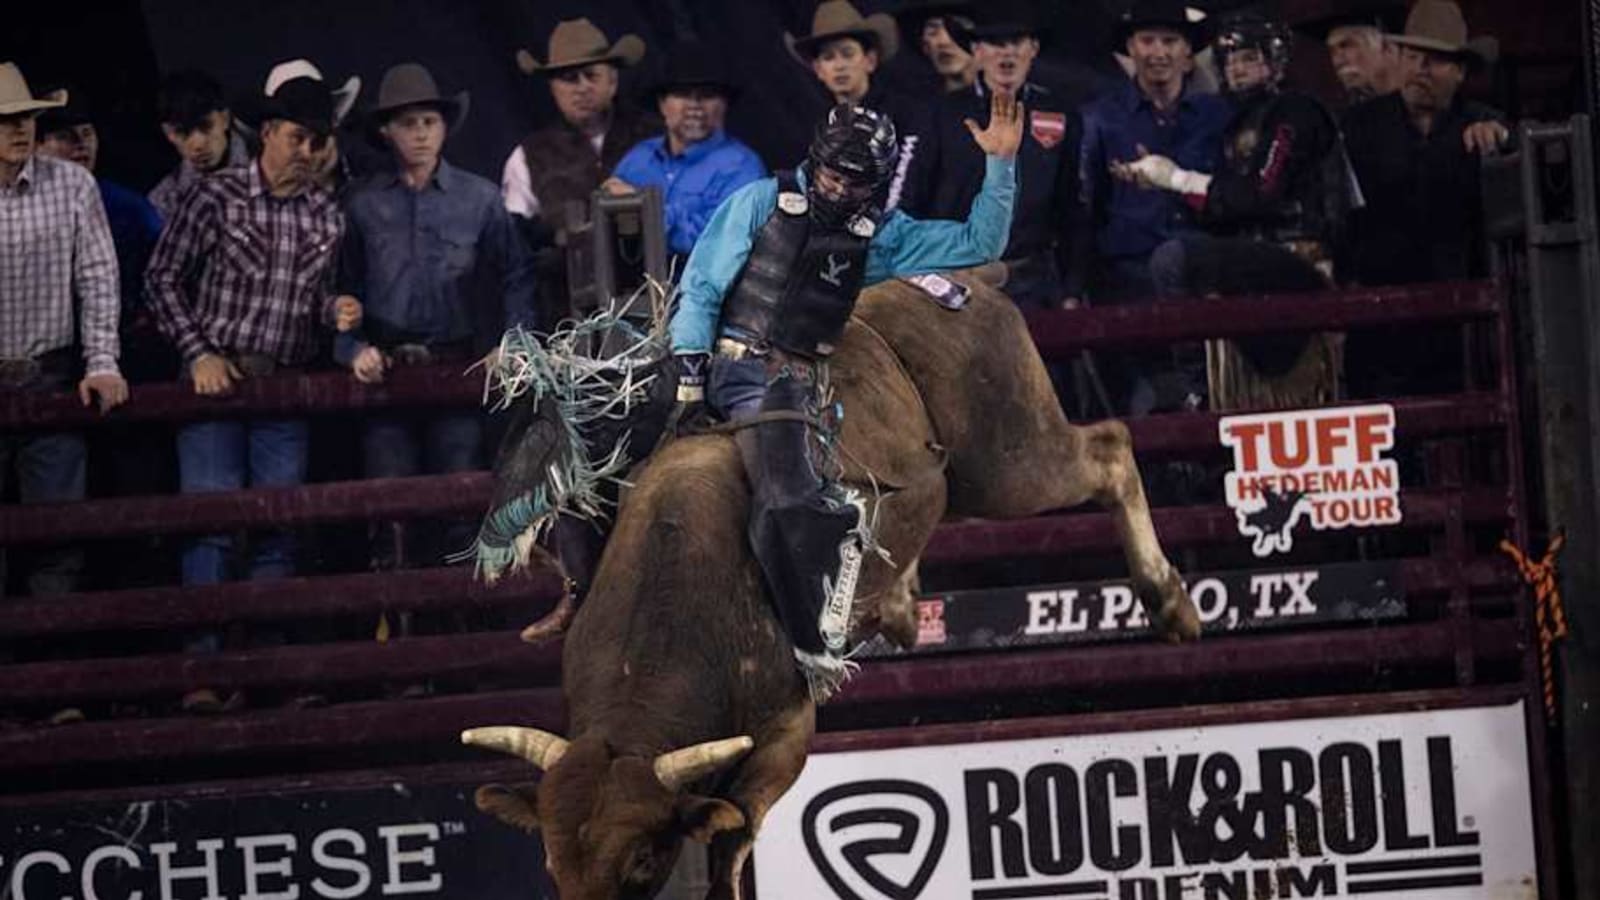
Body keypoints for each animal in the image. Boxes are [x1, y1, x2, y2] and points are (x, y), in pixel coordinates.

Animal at [462, 266, 1201, 899]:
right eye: (553, 862)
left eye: (643, 857)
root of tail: (963, 281)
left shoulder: (784, 739)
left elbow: (731, 851)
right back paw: (897, 605)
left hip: (1012, 458)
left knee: (1109, 450)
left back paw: (1170, 604)